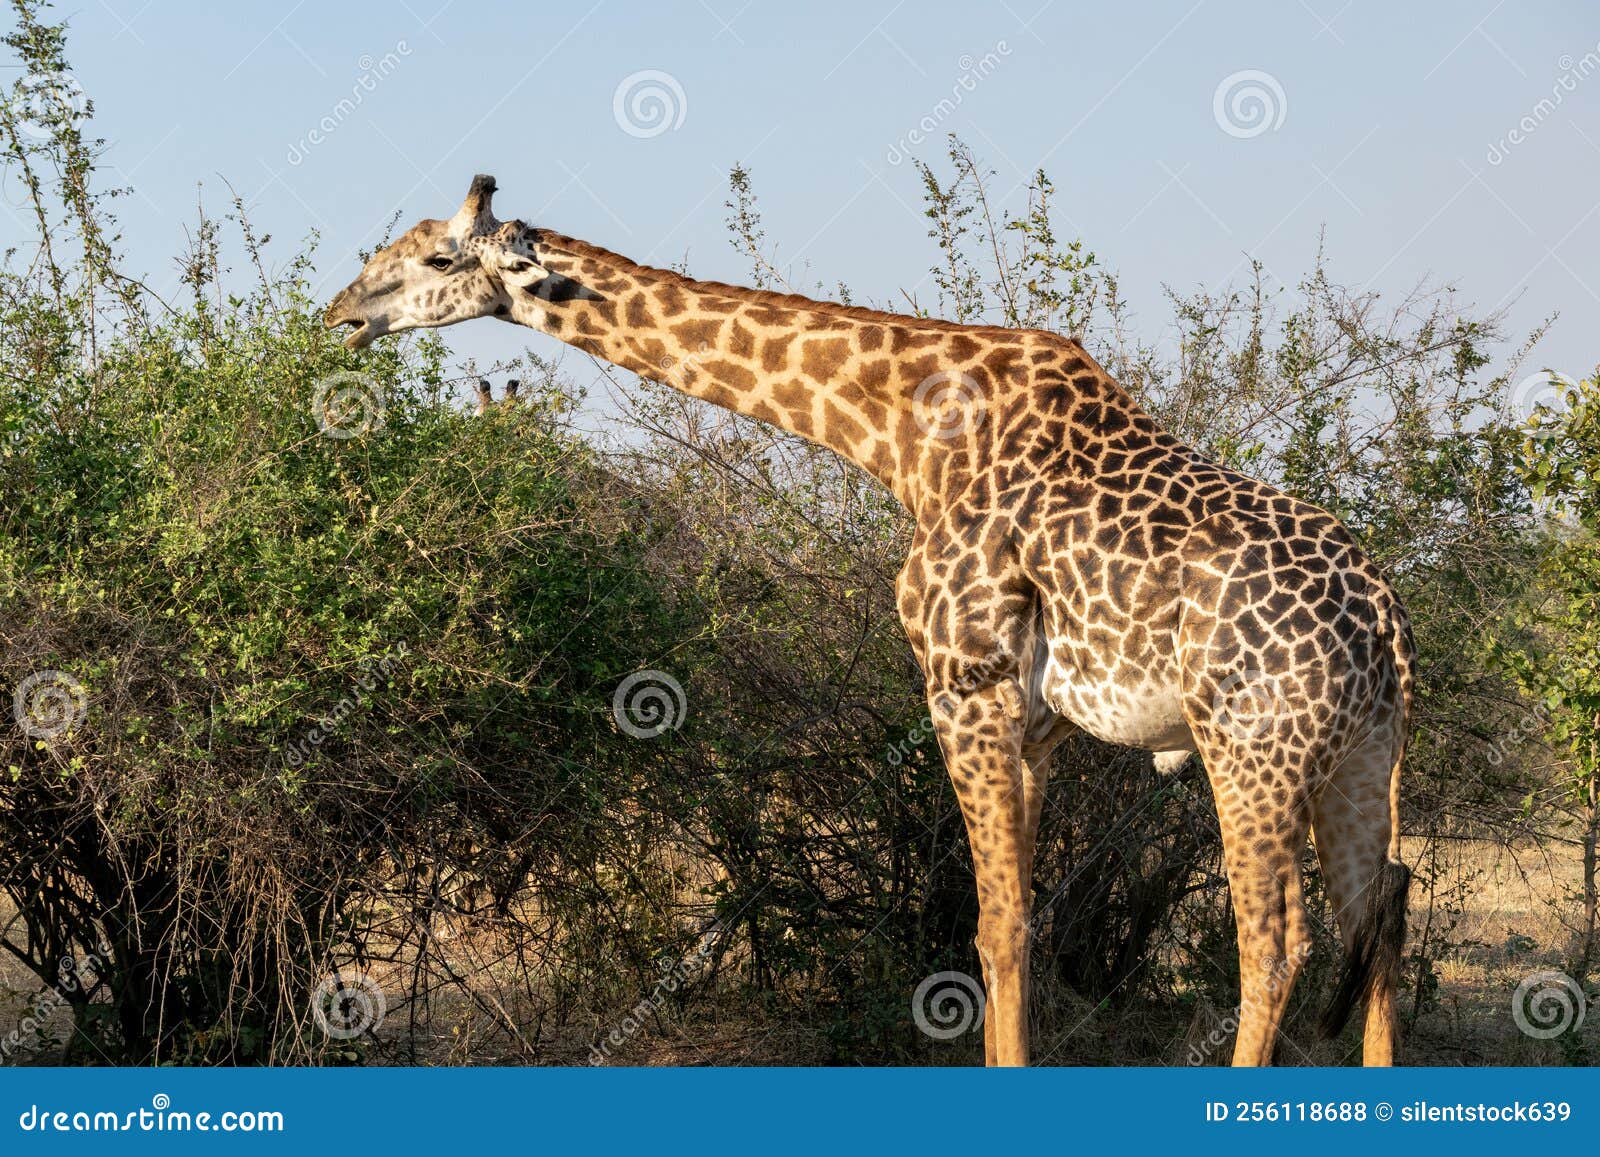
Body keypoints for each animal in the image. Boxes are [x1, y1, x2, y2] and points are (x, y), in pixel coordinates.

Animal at [326, 176, 1414, 1067]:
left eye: (433, 259)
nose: (340, 312)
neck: (900, 428)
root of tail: (1386, 624)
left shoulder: (963, 685)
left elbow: (996, 926)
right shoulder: (1037, 723)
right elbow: (1018, 920)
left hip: (1252, 747)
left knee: (1276, 938)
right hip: (1361, 756)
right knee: (1384, 910)